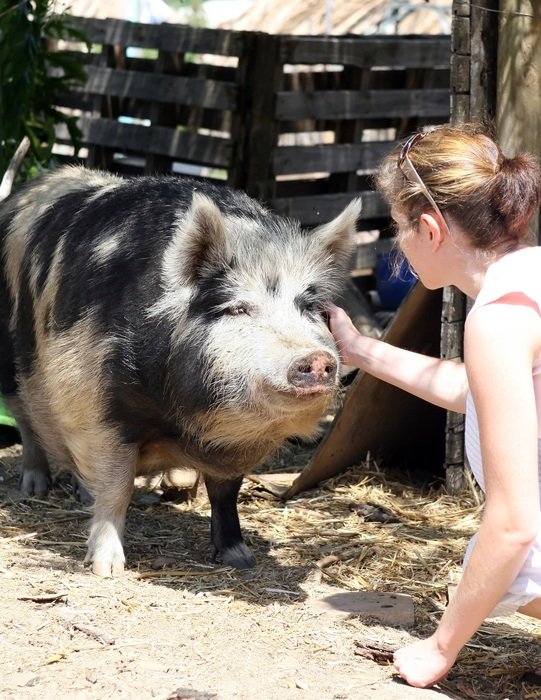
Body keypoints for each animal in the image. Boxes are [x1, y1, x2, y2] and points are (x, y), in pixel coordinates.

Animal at [0, 166, 361, 576]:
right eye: (238, 308)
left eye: (310, 307)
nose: (316, 358)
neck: (183, 420)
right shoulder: (95, 406)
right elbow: (116, 487)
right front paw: (107, 569)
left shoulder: (233, 447)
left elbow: (226, 492)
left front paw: (241, 558)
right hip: (11, 367)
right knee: (27, 425)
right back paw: (35, 488)